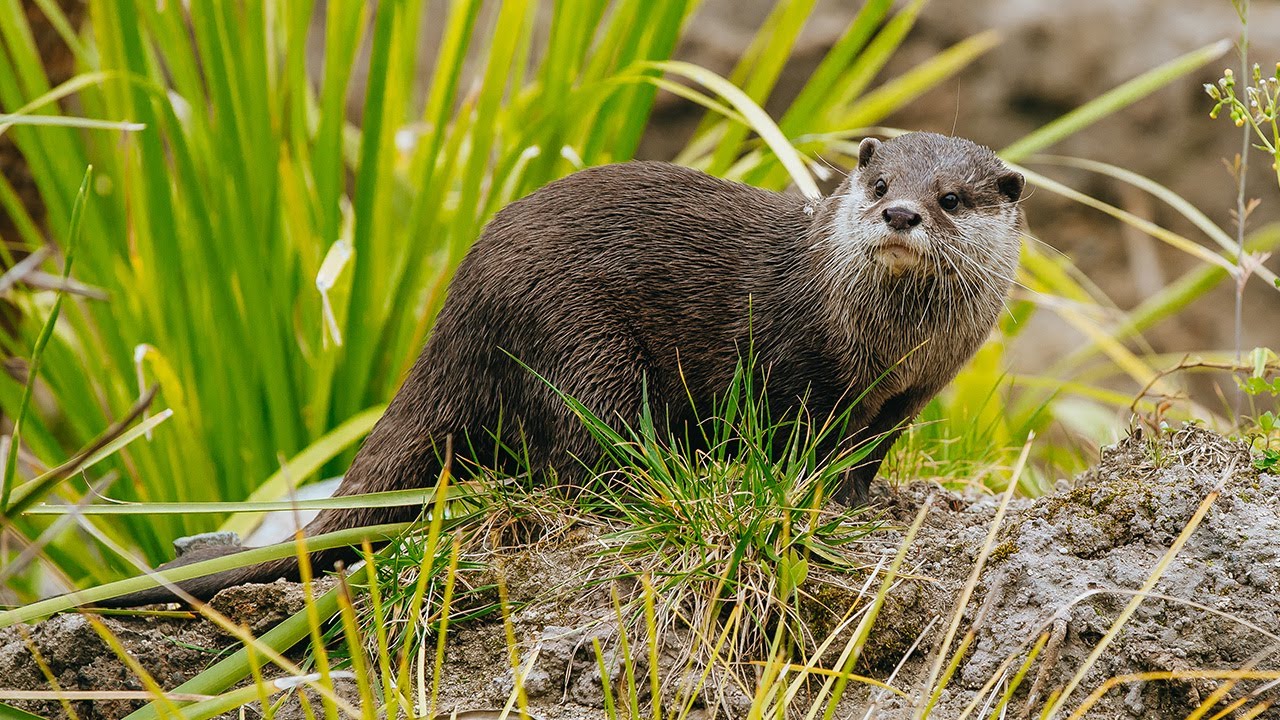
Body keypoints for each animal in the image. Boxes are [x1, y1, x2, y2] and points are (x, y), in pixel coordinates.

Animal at [103, 132, 1024, 605]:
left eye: (951, 198)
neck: (879, 345)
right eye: (877, 180)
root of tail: (457, 310)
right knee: (576, 464)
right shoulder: (794, 363)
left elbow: (863, 456)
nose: (900, 213)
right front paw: (803, 497)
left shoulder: (910, 396)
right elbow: (790, 438)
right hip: (577, 343)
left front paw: (865, 502)